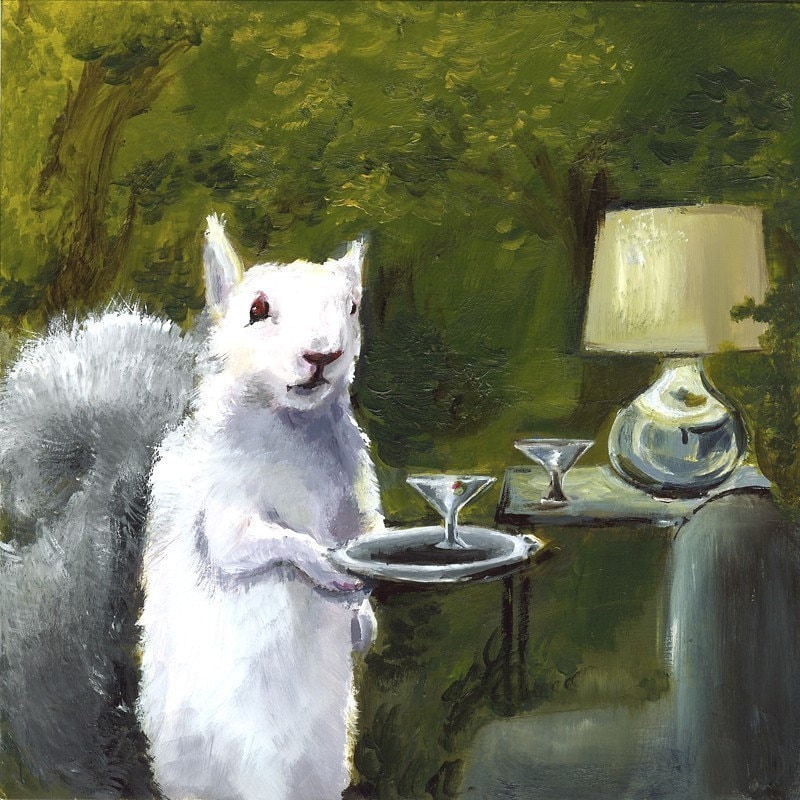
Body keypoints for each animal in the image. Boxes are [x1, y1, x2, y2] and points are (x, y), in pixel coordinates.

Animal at [0, 215, 382, 800]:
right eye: (257, 310)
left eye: (353, 307)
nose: (323, 356)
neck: (297, 428)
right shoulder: (222, 496)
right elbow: (243, 543)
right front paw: (319, 563)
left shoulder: (356, 485)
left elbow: (369, 525)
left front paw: (365, 612)